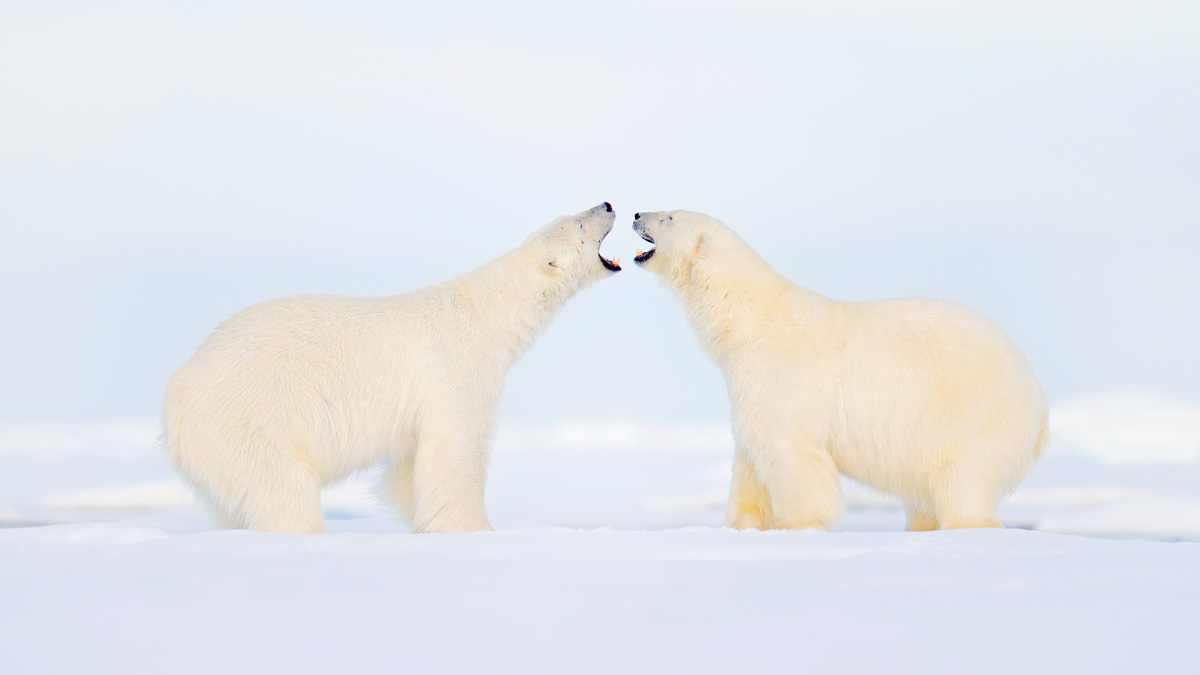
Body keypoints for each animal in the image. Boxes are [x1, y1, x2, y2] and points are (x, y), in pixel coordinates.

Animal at [162, 203, 621, 534]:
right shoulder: (457, 370)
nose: (608, 203)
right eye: (580, 223)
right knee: (283, 489)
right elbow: (456, 448)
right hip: (249, 419)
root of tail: (178, 390)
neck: (486, 314)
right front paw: (476, 530)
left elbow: (409, 462)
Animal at [632, 210, 1048, 531]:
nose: (636, 214)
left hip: (972, 415)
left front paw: (795, 525)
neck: (749, 320)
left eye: (670, 217)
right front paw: (738, 525)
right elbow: (749, 463)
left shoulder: (780, 380)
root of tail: (1039, 402)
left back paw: (967, 526)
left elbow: (789, 454)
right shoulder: (747, 390)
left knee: (961, 479)